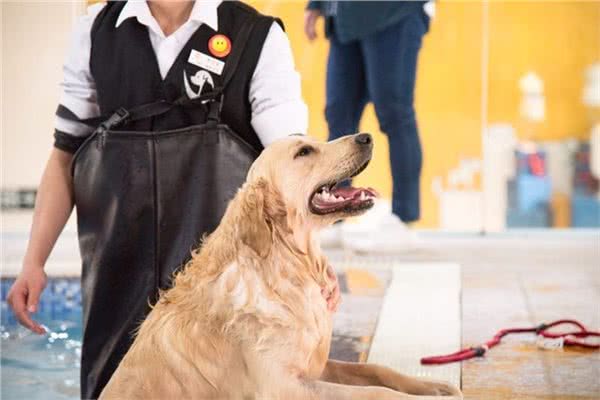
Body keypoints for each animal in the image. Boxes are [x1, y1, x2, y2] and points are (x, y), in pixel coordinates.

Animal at [101, 133, 462, 398]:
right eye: (304, 151)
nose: (366, 136)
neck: (288, 261)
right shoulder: (285, 386)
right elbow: (376, 393)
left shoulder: (313, 367)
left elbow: (374, 370)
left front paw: (432, 386)